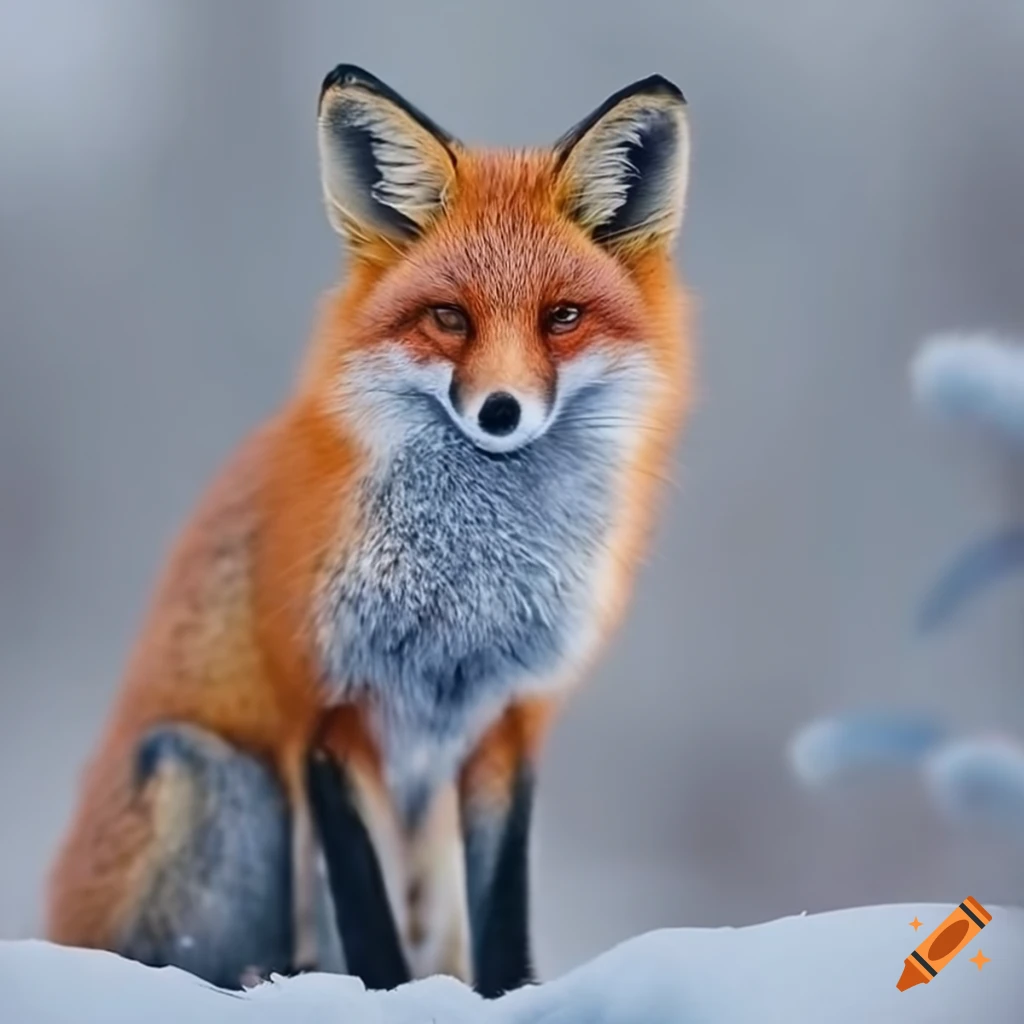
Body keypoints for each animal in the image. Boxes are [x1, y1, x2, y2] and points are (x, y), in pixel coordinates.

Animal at [45, 64, 695, 997]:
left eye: (561, 317)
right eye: (450, 318)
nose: (501, 412)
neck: (466, 581)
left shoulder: (505, 718)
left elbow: (503, 912)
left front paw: (507, 1001)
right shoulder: (328, 706)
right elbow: (364, 912)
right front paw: (383, 1000)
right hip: (210, 775)